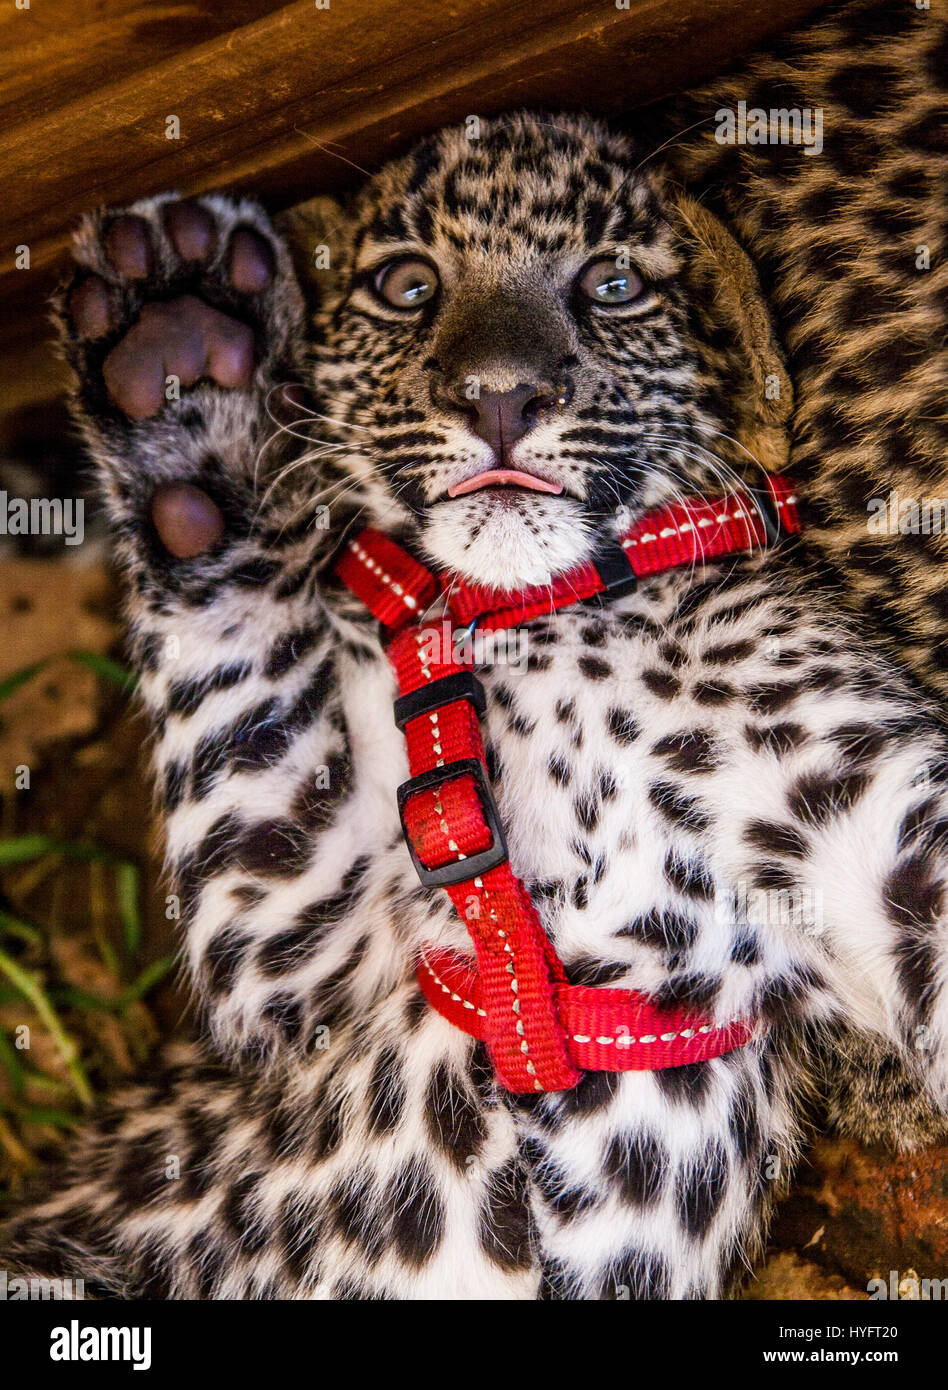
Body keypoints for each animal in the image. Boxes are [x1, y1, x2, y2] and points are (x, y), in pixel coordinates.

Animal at [2, 0, 947, 1300]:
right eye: (406, 286)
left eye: (612, 283)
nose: (501, 395)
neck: (537, 626)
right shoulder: (293, 953)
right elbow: (239, 663)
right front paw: (183, 383)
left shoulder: (863, 809)